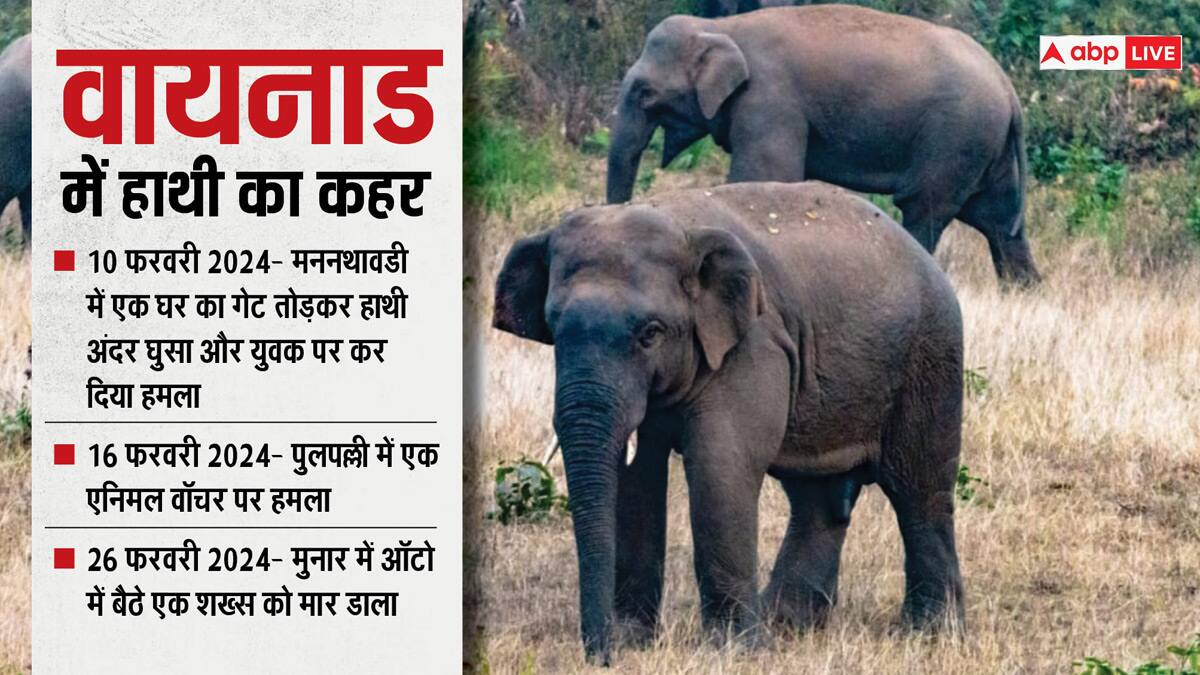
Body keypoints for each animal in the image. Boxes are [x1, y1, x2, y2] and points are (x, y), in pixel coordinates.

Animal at [493, 181, 965, 665]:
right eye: (554, 328)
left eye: (651, 333)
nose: (600, 656)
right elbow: (636, 478)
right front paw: (633, 641)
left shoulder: (753, 345)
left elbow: (721, 466)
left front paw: (735, 652)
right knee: (818, 496)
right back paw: (787, 624)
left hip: (931, 354)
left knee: (919, 487)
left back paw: (932, 633)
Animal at [607, 5, 1040, 284]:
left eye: (645, 93)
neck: (721, 25)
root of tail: (1008, 88)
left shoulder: (770, 98)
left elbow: (765, 173)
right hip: (986, 147)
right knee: (998, 220)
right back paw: (1023, 291)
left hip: (955, 138)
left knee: (925, 207)